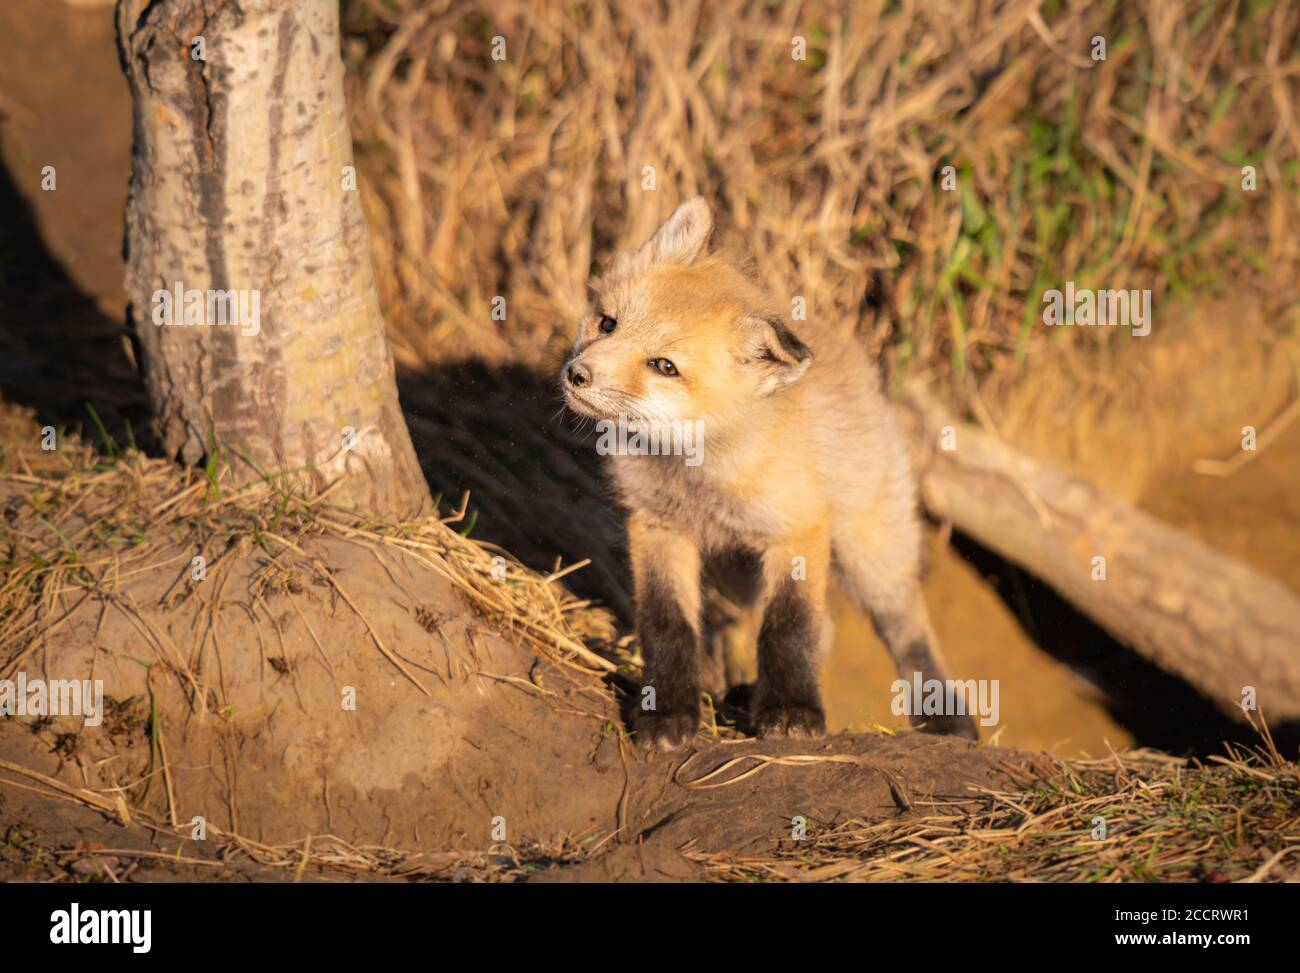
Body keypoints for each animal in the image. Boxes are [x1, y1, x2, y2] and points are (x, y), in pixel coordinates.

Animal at [562, 197, 979, 749]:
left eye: (664, 366)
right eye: (607, 323)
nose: (577, 374)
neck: (698, 472)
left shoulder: (799, 530)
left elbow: (788, 629)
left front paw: (791, 711)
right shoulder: (657, 525)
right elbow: (668, 622)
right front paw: (667, 710)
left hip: (871, 556)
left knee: (907, 628)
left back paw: (947, 720)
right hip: (737, 574)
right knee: (810, 628)